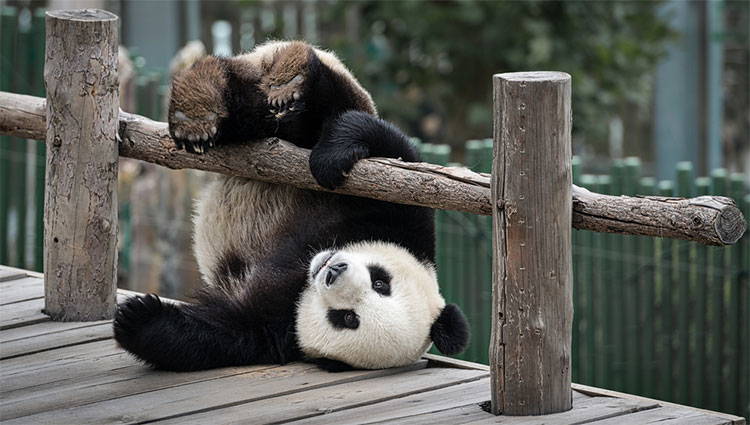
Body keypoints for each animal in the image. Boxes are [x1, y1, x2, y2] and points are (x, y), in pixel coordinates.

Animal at [113, 40, 470, 372]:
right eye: (381, 281)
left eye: (348, 318)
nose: (333, 270)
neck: (305, 270)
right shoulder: (404, 219)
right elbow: (388, 149)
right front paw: (331, 159)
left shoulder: (279, 330)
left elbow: (222, 333)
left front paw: (137, 318)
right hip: (311, 100)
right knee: (311, 106)